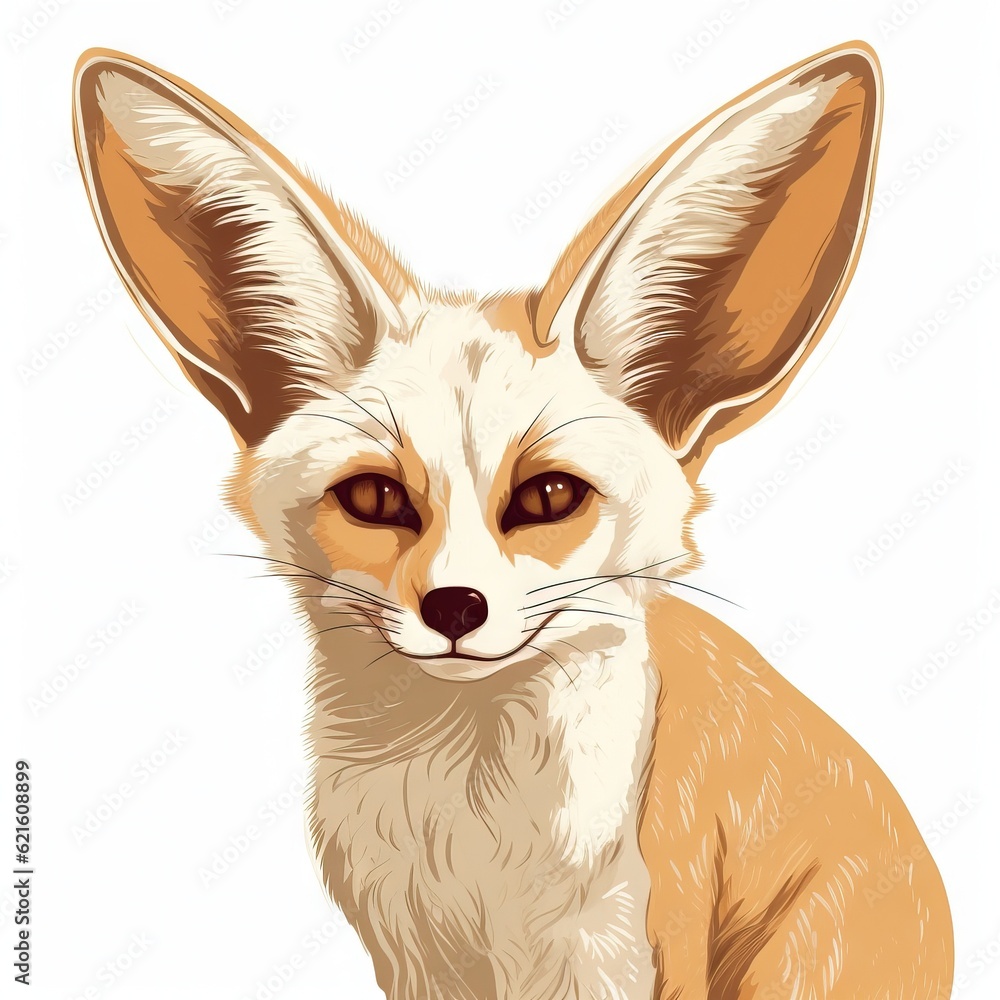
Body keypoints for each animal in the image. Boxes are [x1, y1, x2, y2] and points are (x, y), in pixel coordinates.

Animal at [73, 41, 953, 1000]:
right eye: (376, 499)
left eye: (548, 498)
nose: (454, 609)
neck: (468, 830)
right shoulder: (418, 961)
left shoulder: (624, 948)